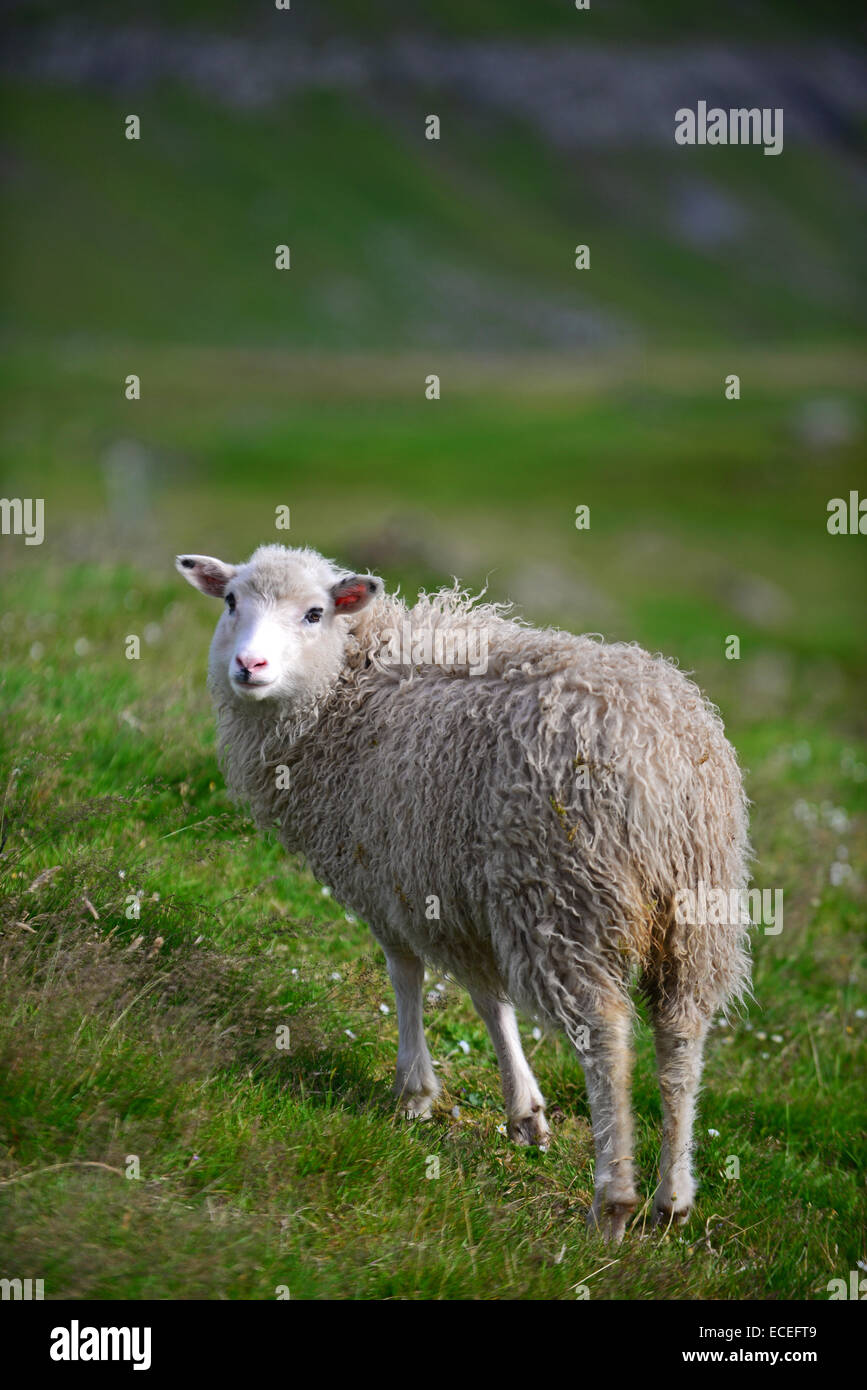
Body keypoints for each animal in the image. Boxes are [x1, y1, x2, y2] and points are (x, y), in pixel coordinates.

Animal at [176, 542, 751, 1242]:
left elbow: (407, 976)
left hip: (563, 894)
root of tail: (661, 767)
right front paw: (525, 1113)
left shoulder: (393, 880)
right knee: (681, 1040)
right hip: (694, 910)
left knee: (607, 1039)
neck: (347, 691)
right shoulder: (459, 895)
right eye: (231, 601)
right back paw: (673, 1195)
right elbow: (488, 999)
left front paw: (415, 1092)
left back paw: (612, 1200)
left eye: (314, 613)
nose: (249, 665)